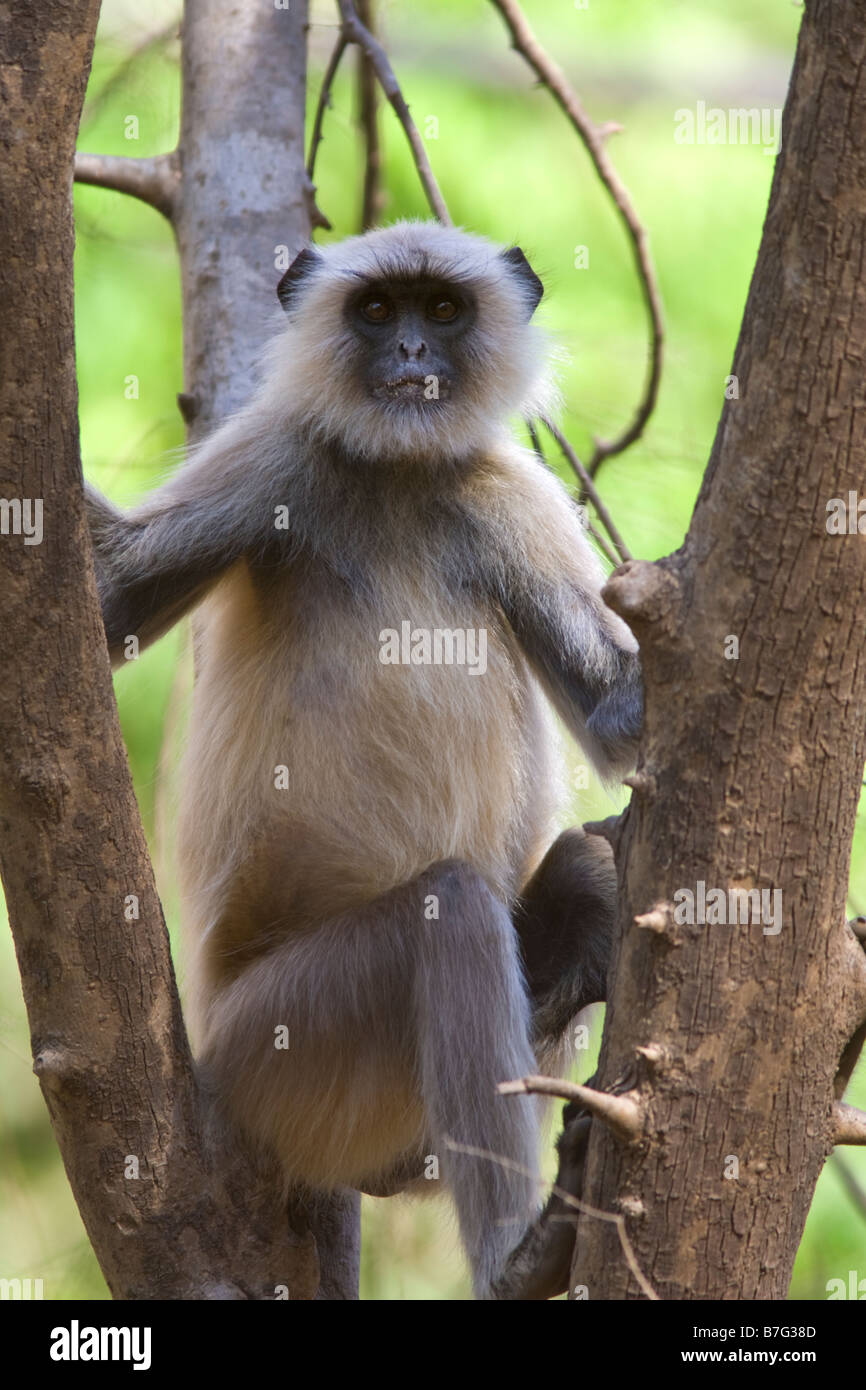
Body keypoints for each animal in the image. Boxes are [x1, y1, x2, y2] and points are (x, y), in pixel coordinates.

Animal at [85, 221, 642, 1299]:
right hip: (276, 1044)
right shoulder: (273, 460)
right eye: (378, 311)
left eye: (443, 311)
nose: (413, 354)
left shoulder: (513, 500)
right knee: (452, 912)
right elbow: (100, 600)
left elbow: (617, 721)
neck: (400, 473)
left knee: (586, 870)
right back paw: (518, 1252)